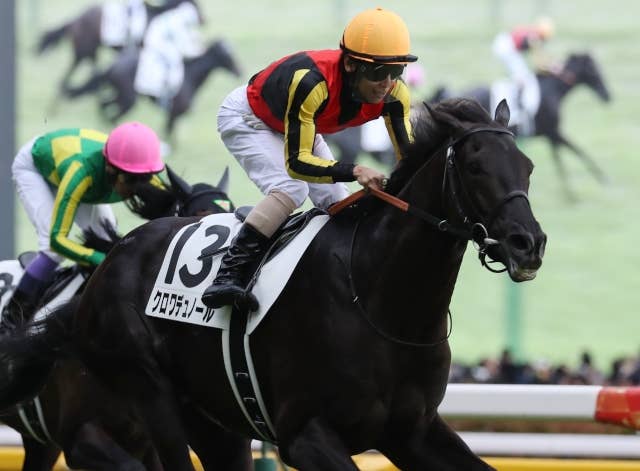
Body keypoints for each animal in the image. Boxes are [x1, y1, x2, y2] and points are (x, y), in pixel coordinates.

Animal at [36, 0, 202, 101]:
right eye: (196, 5)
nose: (204, 19)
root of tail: (75, 20)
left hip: (88, 53)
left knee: (75, 77)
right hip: (83, 52)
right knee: (68, 79)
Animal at [65, 39, 241, 138]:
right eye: (226, 55)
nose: (239, 70)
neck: (190, 76)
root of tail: (113, 65)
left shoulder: (172, 115)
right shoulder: (174, 113)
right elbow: (169, 135)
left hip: (121, 95)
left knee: (103, 106)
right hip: (128, 99)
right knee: (109, 112)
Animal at [430, 52, 611, 200]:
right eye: (594, 70)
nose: (608, 96)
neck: (553, 89)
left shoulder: (552, 135)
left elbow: (567, 155)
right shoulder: (553, 133)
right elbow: (575, 153)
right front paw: (583, 189)